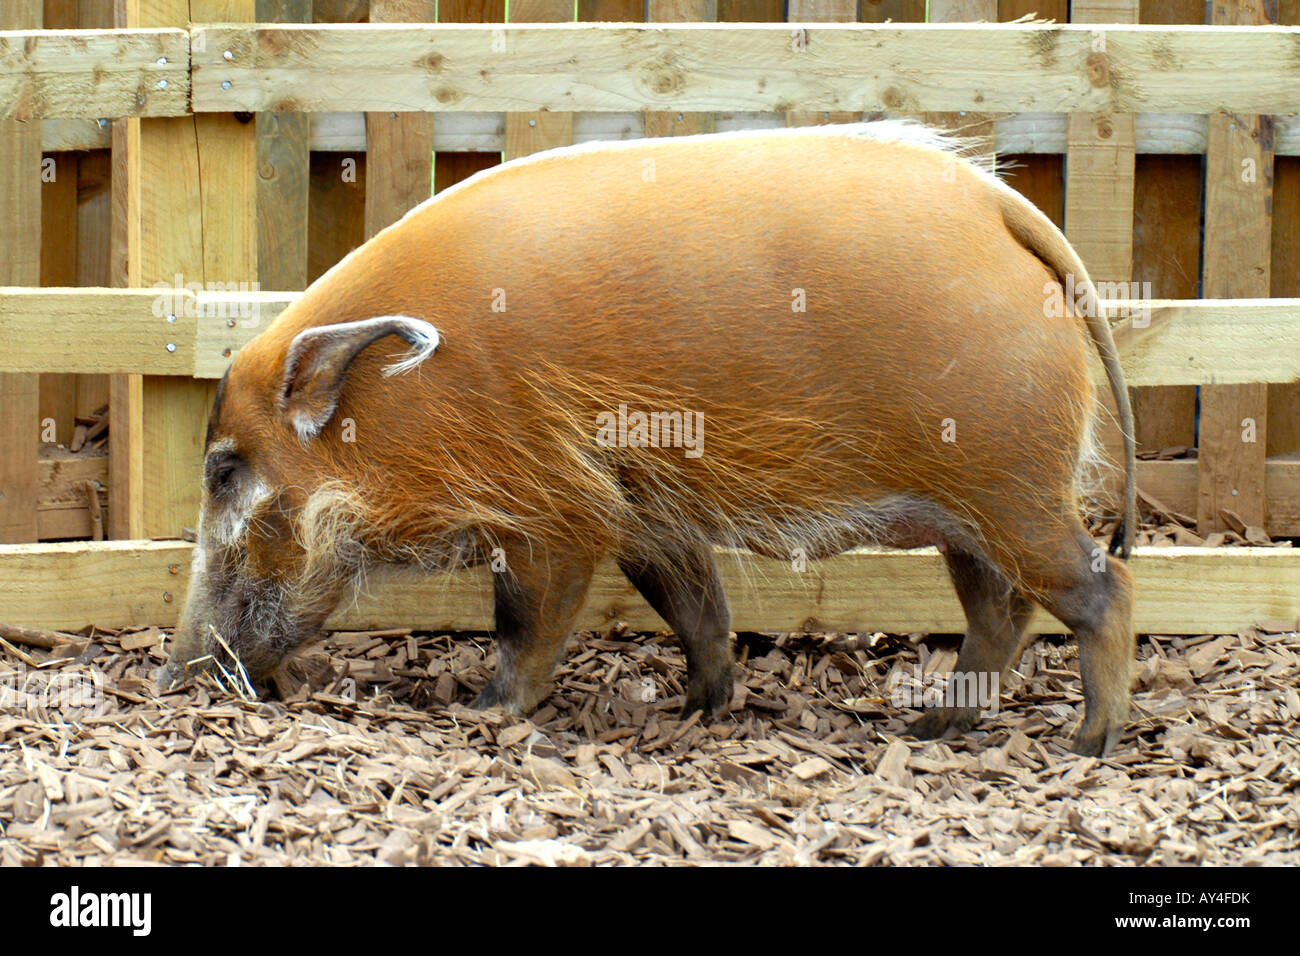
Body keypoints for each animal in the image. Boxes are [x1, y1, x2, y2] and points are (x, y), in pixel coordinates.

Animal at [157, 121, 1137, 756]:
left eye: (224, 470)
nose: (173, 677)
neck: (418, 395)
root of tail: (1013, 213)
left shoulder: (556, 515)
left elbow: (526, 623)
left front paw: (483, 713)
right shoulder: (645, 514)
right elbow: (697, 610)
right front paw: (697, 711)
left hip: (1009, 485)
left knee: (1101, 585)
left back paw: (1088, 741)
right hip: (973, 508)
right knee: (999, 611)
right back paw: (935, 726)